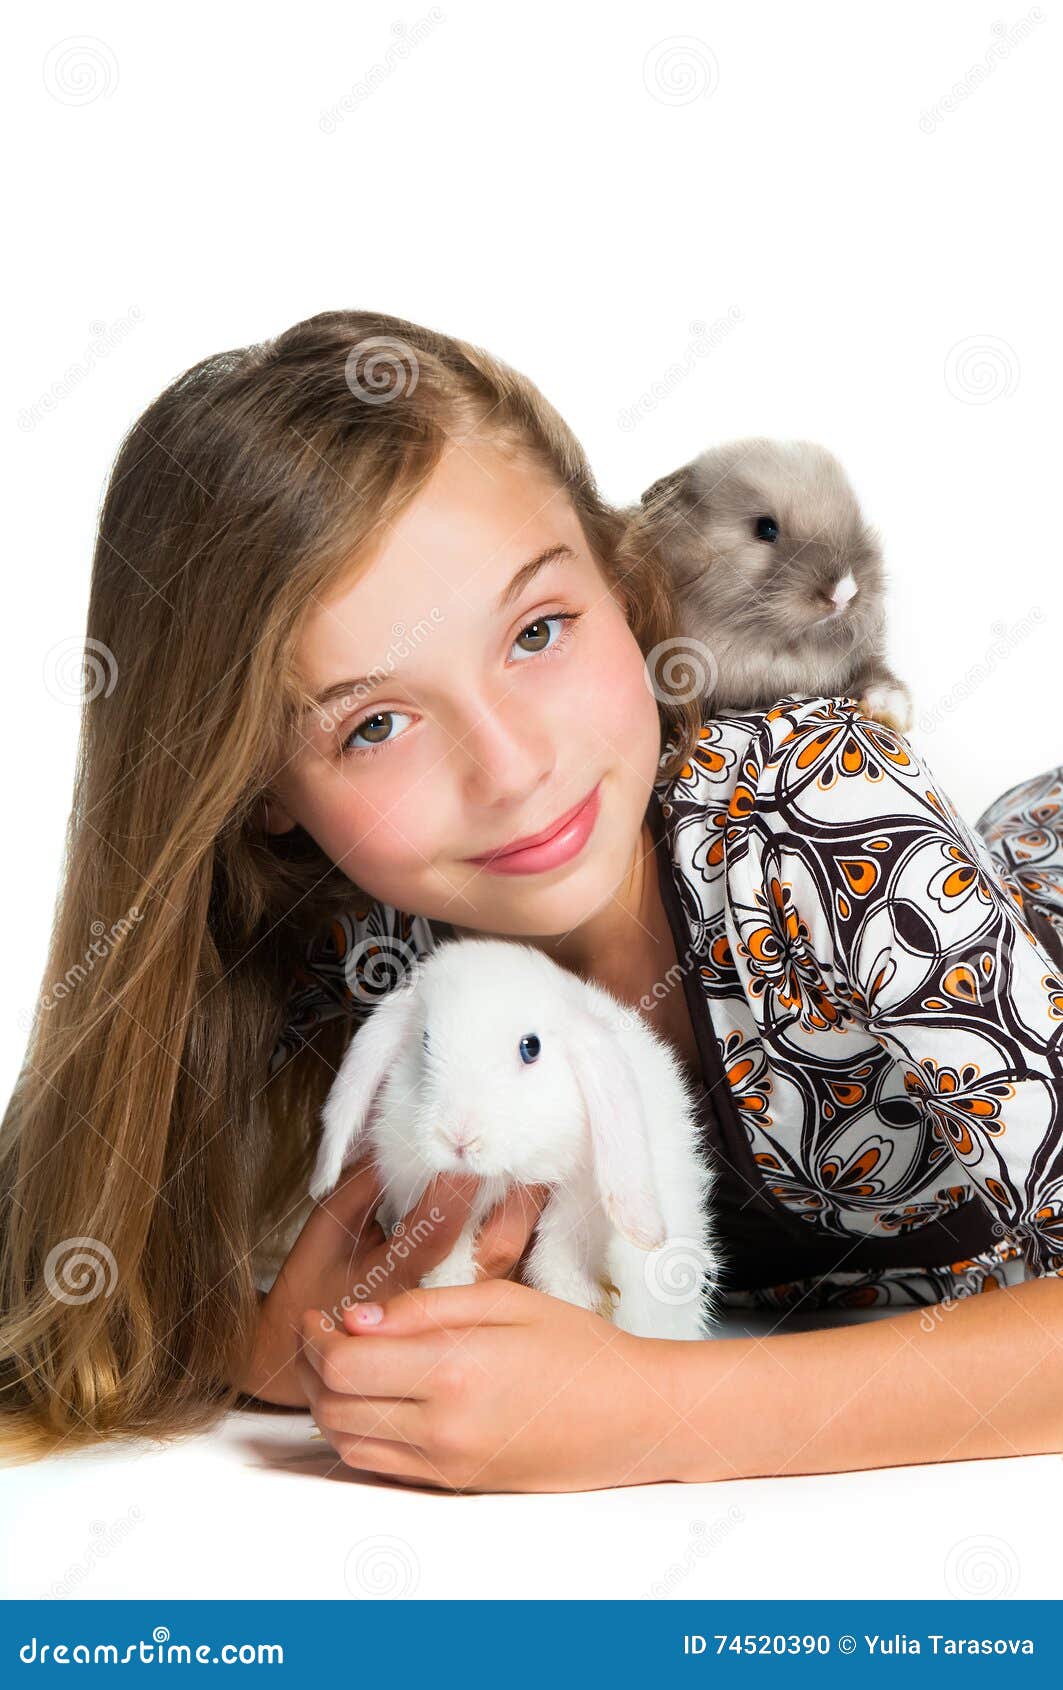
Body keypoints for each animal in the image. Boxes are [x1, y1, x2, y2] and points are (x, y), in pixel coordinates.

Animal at [309, 936, 726, 1341]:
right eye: (424, 1042)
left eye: (531, 1047)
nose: (459, 1136)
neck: (502, 1175)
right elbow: (451, 1248)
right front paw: (449, 1285)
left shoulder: (575, 1201)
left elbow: (558, 1249)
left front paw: (575, 1299)